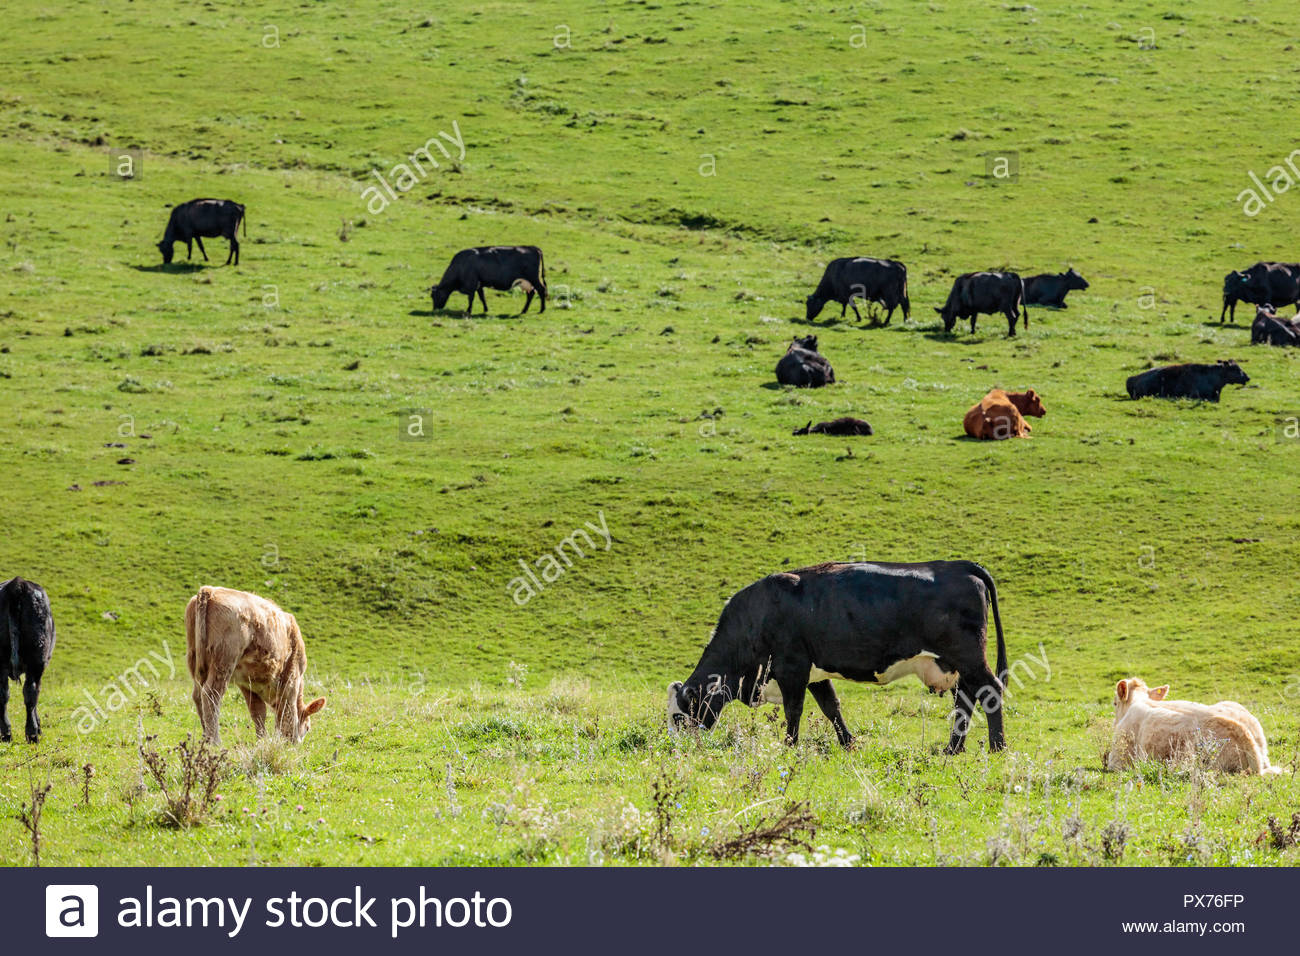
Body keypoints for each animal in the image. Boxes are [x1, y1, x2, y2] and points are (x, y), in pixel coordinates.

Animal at [0, 578, 55, 743]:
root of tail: (17, 584)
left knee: (3, 694)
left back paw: (6, 734)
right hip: (37, 659)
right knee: (31, 691)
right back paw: (33, 735)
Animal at [185, 587, 325, 745]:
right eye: (307, 727)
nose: (296, 743)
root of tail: (210, 590)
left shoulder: (247, 684)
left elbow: (258, 712)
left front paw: (262, 740)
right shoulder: (291, 680)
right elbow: (289, 712)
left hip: (195, 660)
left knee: (198, 696)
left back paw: (205, 738)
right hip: (224, 660)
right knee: (211, 694)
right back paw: (214, 741)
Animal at [666, 560, 1009, 753]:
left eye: (678, 715)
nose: (674, 748)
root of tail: (956, 565)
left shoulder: (792, 667)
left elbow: (794, 710)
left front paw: (789, 746)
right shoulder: (814, 673)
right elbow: (830, 707)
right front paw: (848, 743)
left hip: (967, 656)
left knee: (988, 691)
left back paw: (997, 747)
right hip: (955, 663)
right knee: (965, 699)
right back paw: (952, 749)